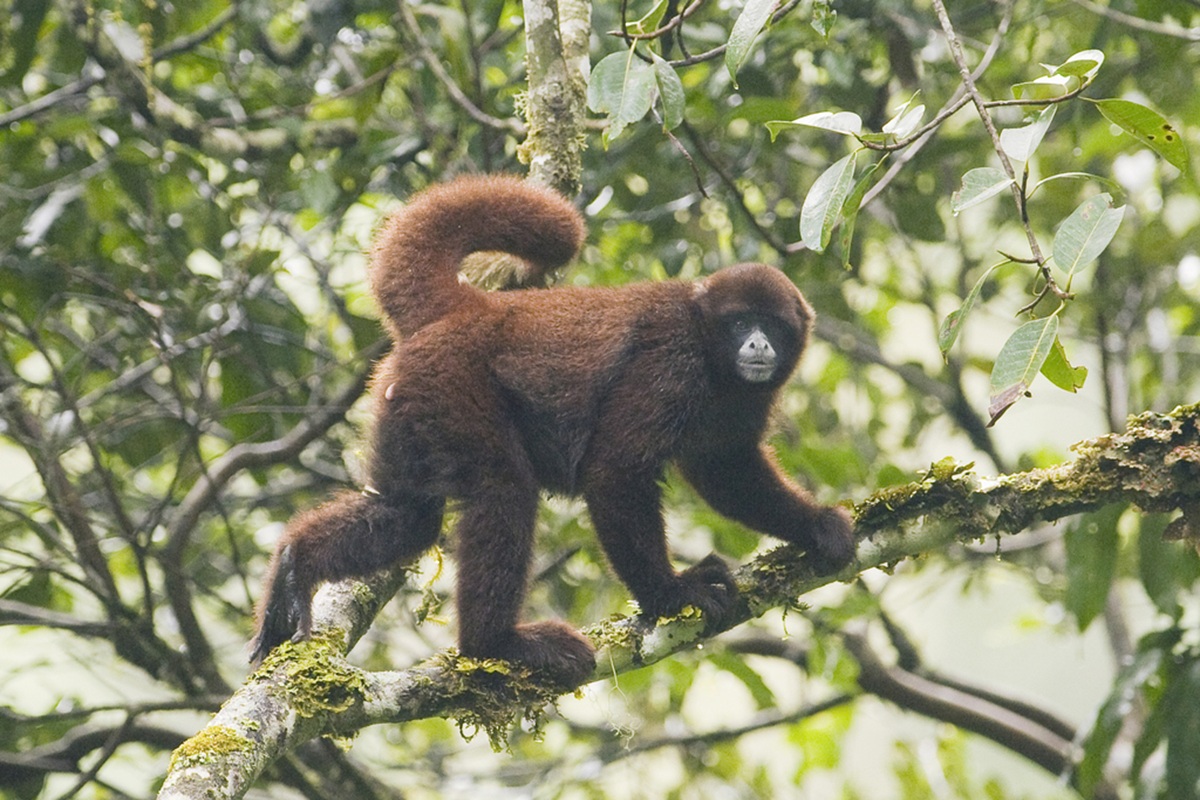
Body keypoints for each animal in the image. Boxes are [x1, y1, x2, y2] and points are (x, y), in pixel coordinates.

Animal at [249, 174, 856, 687]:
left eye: (772, 324)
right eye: (739, 323)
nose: (757, 344)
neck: (711, 354)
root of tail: (472, 309)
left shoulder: (747, 398)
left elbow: (727, 471)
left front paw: (815, 525)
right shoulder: (671, 366)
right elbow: (614, 471)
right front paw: (669, 593)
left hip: (410, 399)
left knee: (408, 515)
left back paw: (296, 567)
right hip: (453, 383)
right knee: (503, 490)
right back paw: (494, 644)